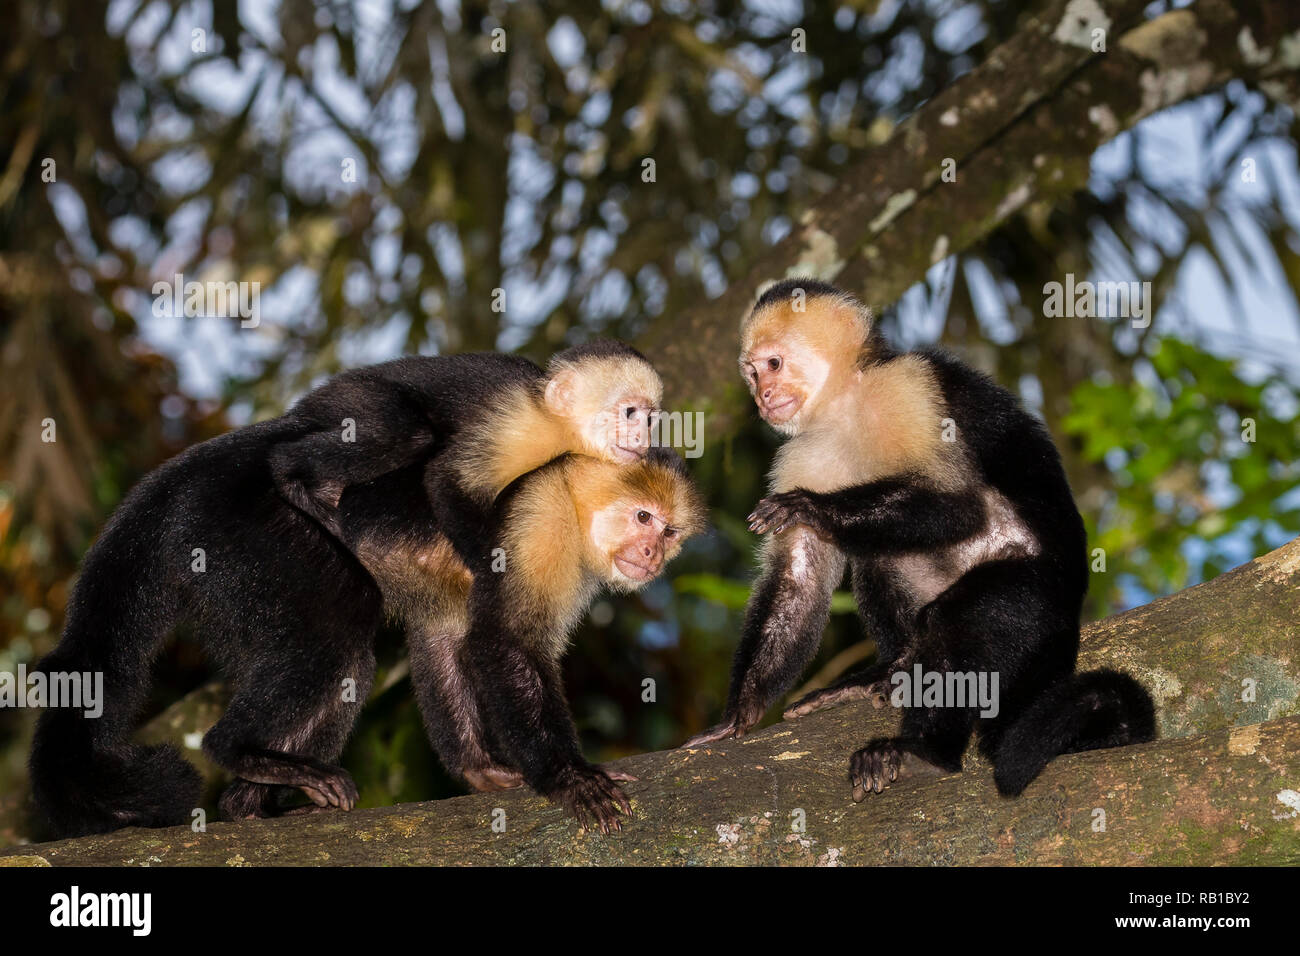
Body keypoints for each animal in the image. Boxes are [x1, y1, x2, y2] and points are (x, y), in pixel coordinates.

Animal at [335, 446, 706, 832]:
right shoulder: (541, 513)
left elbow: (455, 637)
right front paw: (569, 776)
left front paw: (483, 768)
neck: (574, 505)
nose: (653, 554)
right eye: (643, 517)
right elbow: (508, 639)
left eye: (669, 532)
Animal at [682, 278, 1154, 801]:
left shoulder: (908, 387)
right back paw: (893, 666)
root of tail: (1070, 613)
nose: (763, 395)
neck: (847, 404)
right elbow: (799, 574)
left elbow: (958, 503)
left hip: (1036, 592)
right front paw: (740, 711)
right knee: (881, 559)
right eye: (752, 373)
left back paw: (926, 754)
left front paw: (809, 507)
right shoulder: (800, 451)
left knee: (959, 620)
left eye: (773, 364)